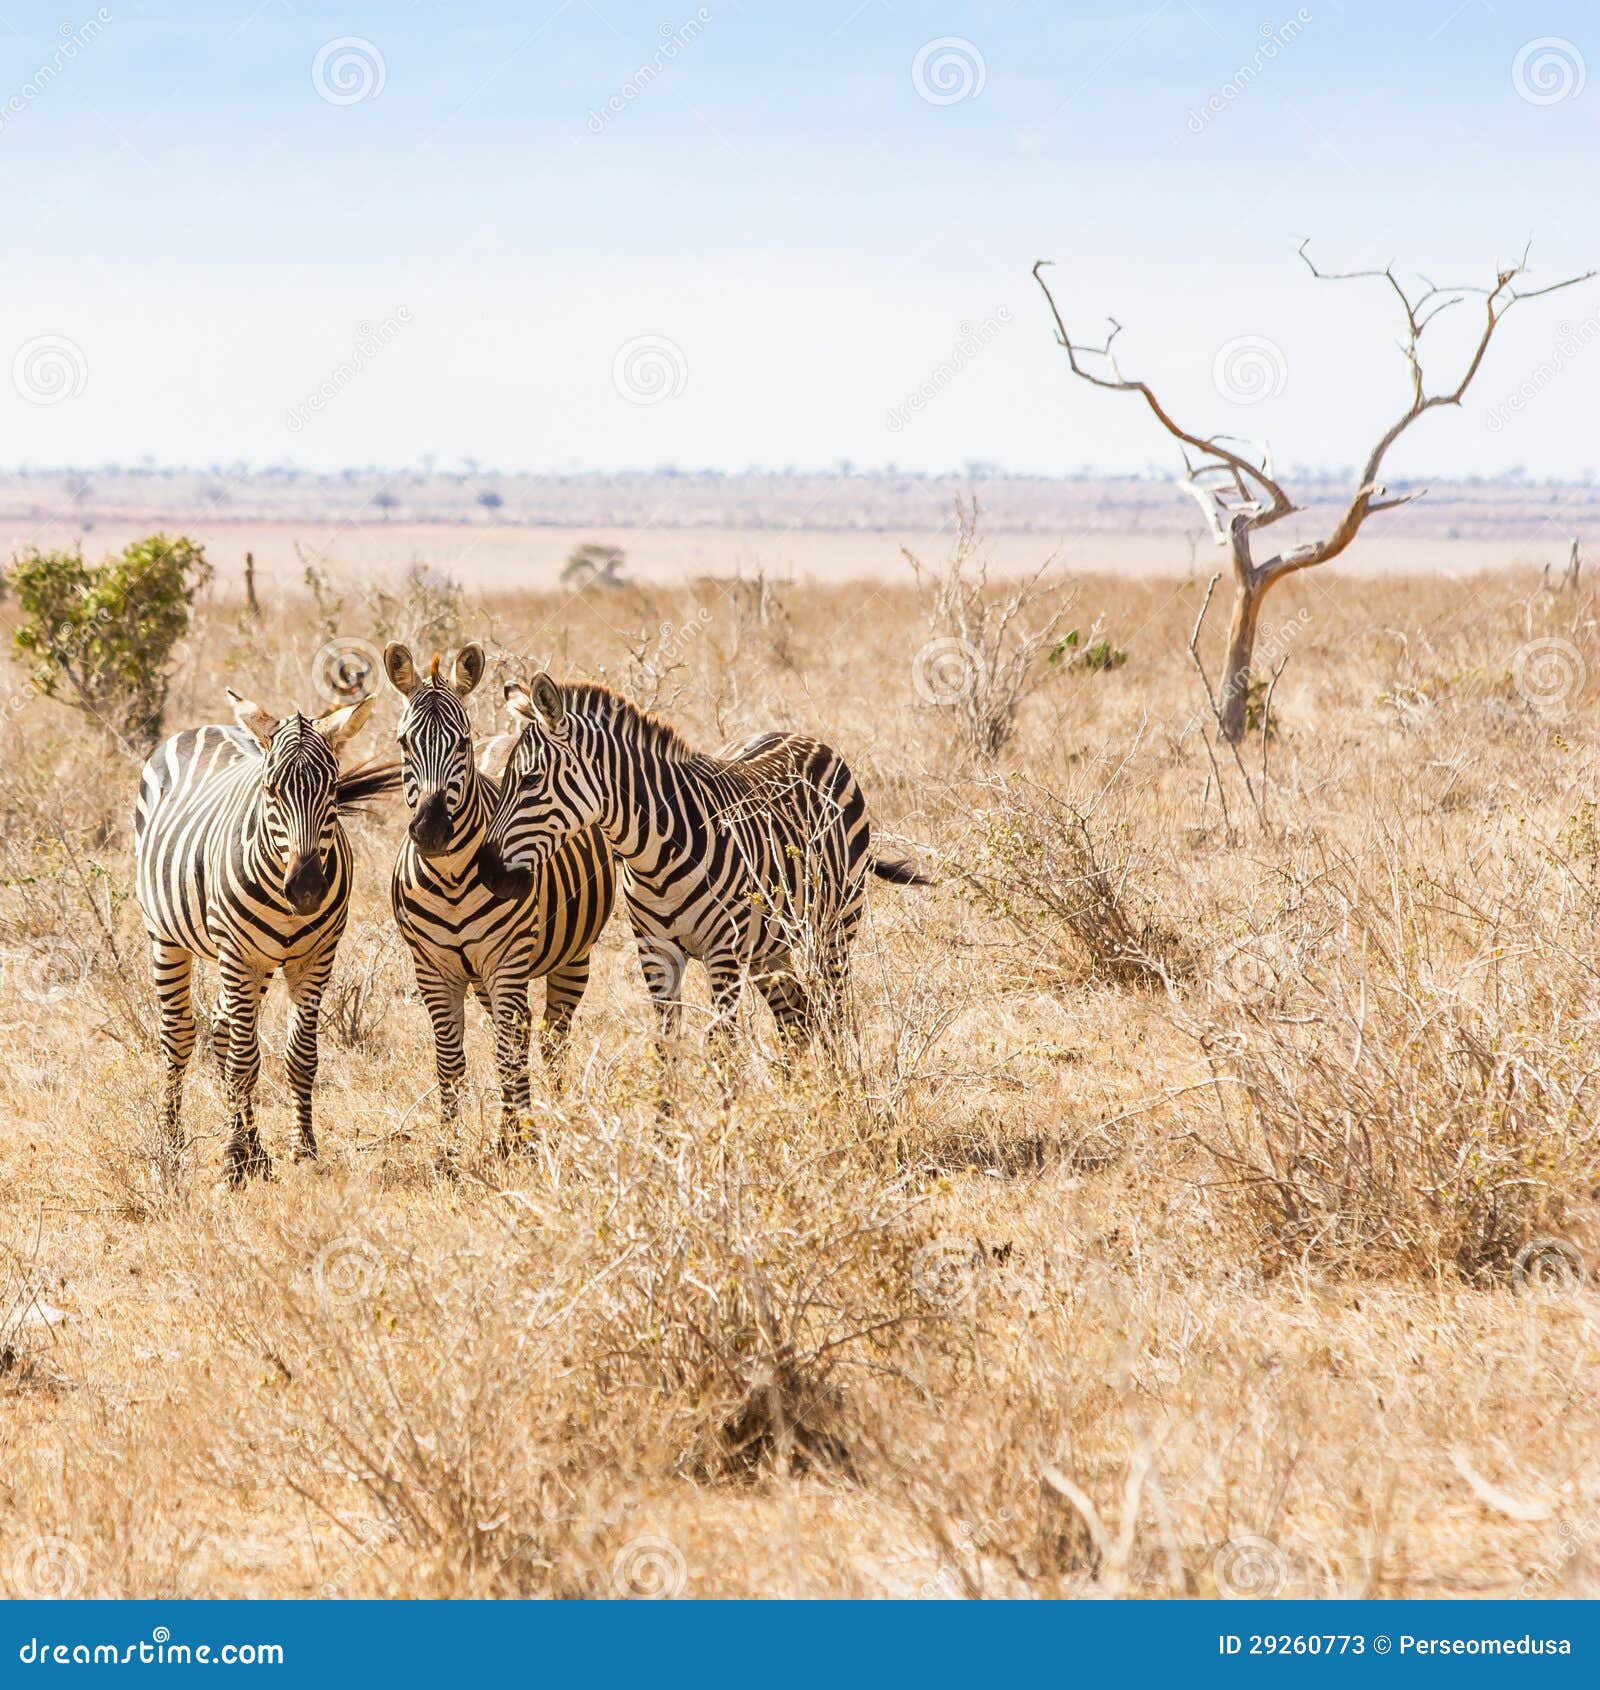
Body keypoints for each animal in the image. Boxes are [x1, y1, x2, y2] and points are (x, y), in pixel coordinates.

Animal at [134, 689, 399, 1183]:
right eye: (271, 790)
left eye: (333, 790)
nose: (307, 887)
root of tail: (205, 727)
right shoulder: (238, 955)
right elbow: (244, 1063)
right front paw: (235, 1159)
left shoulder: (316, 959)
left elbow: (301, 1057)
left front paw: (302, 1150)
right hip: (170, 937)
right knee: (180, 1035)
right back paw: (173, 1147)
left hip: (252, 965)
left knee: (222, 1029)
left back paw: (254, 1145)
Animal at [383, 642, 616, 1154]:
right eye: (404, 744)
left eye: (461, 744)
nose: (432, 831)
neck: (450, 877)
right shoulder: (432, 969)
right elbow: (450, 1060)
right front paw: (449, 1151)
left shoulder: (507, 959)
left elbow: (509, 1052)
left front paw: (517, 1144)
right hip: (483, 976)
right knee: (521, 1031)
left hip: (571, 957)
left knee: (549, 1036)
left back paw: (555, 1113)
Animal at [478, 673, 928, 1059]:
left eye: (530, 780)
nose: (485, 872)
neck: (654, 858)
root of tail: (804, 737)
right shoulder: (655, 952)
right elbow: (665, 1044)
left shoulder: (723, 951)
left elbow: (721, 1044)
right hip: (770, 947)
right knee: (796, 1017)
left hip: (834, 925)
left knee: (834, 1012)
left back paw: (841, 1086)